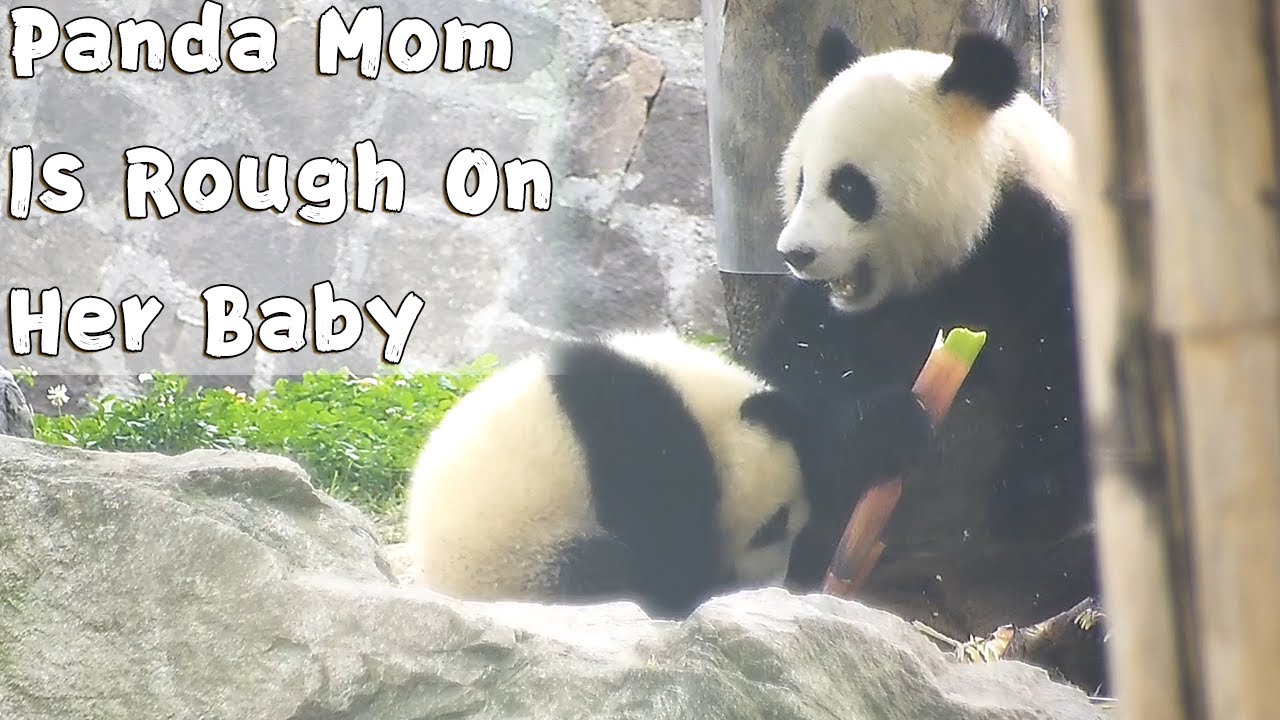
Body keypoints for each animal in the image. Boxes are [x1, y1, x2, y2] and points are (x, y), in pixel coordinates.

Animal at [405, 331, 844, 619]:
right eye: (774, 525)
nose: (766, 583)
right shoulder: (639, 437)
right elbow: (667, 543)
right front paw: (701, 584)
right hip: (520, 559)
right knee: (605, 568)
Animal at [754, 26, 1091, 605]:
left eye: (849, 187)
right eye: (800, 182)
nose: (795, 254)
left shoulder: (1045, 253)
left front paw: (1029, 494)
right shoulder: (826, 314)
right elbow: (794, 386)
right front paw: (889, 427)